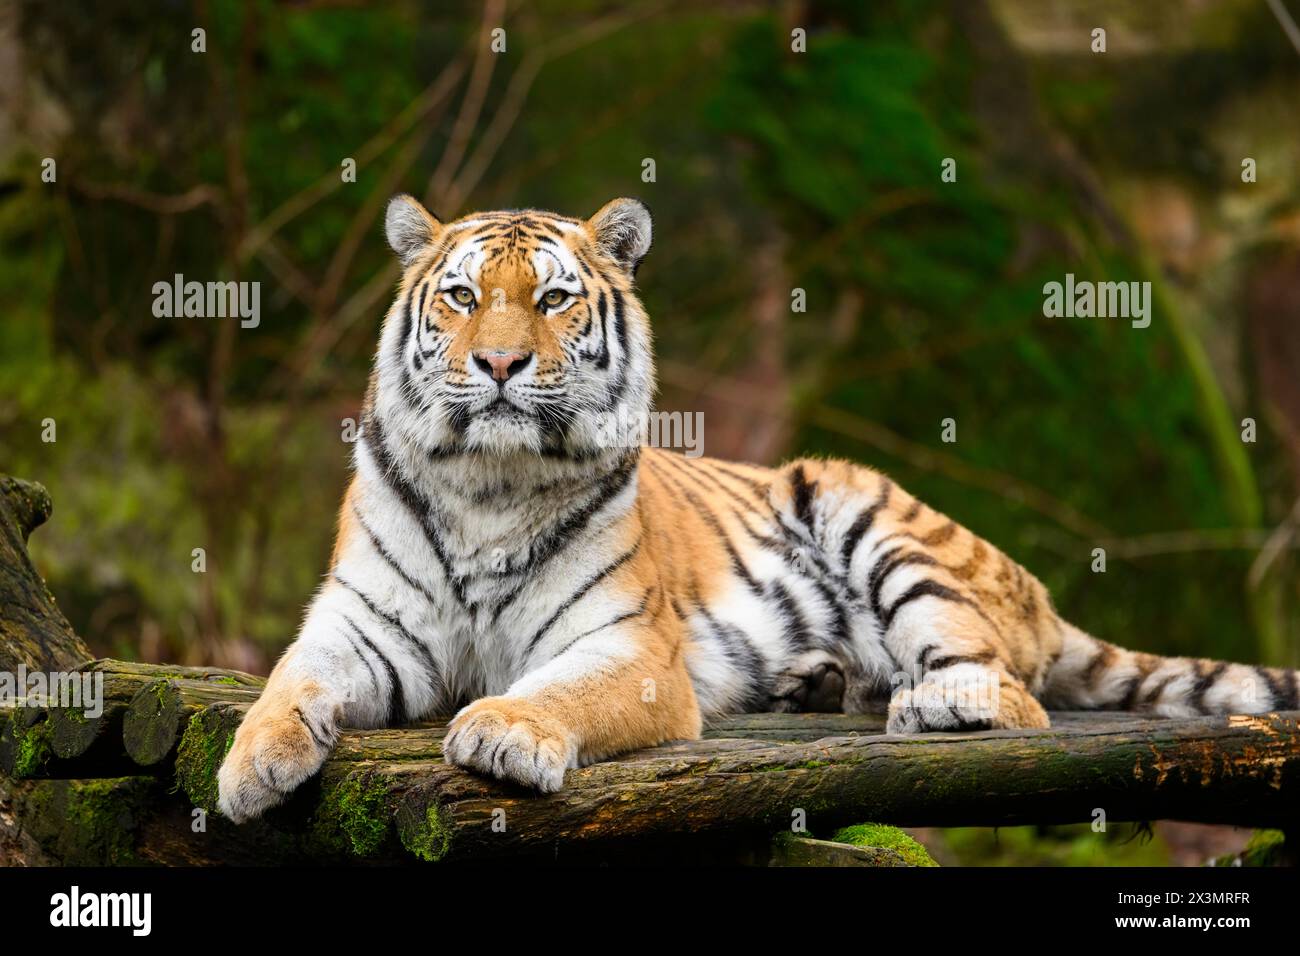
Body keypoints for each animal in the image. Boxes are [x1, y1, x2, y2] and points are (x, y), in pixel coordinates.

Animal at [216, 194, 1300, 823]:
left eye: (555, 299)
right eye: (460, 295)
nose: (499, 363)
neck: (488, 482)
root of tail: (1034, 592)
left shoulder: (629, 649)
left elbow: (555, 690)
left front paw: (503, 729)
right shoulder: (360, 628)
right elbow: (288, 680)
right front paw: (248, 765)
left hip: (869, 513)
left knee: (1011, 687)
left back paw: (934, 700)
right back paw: (818, 682)